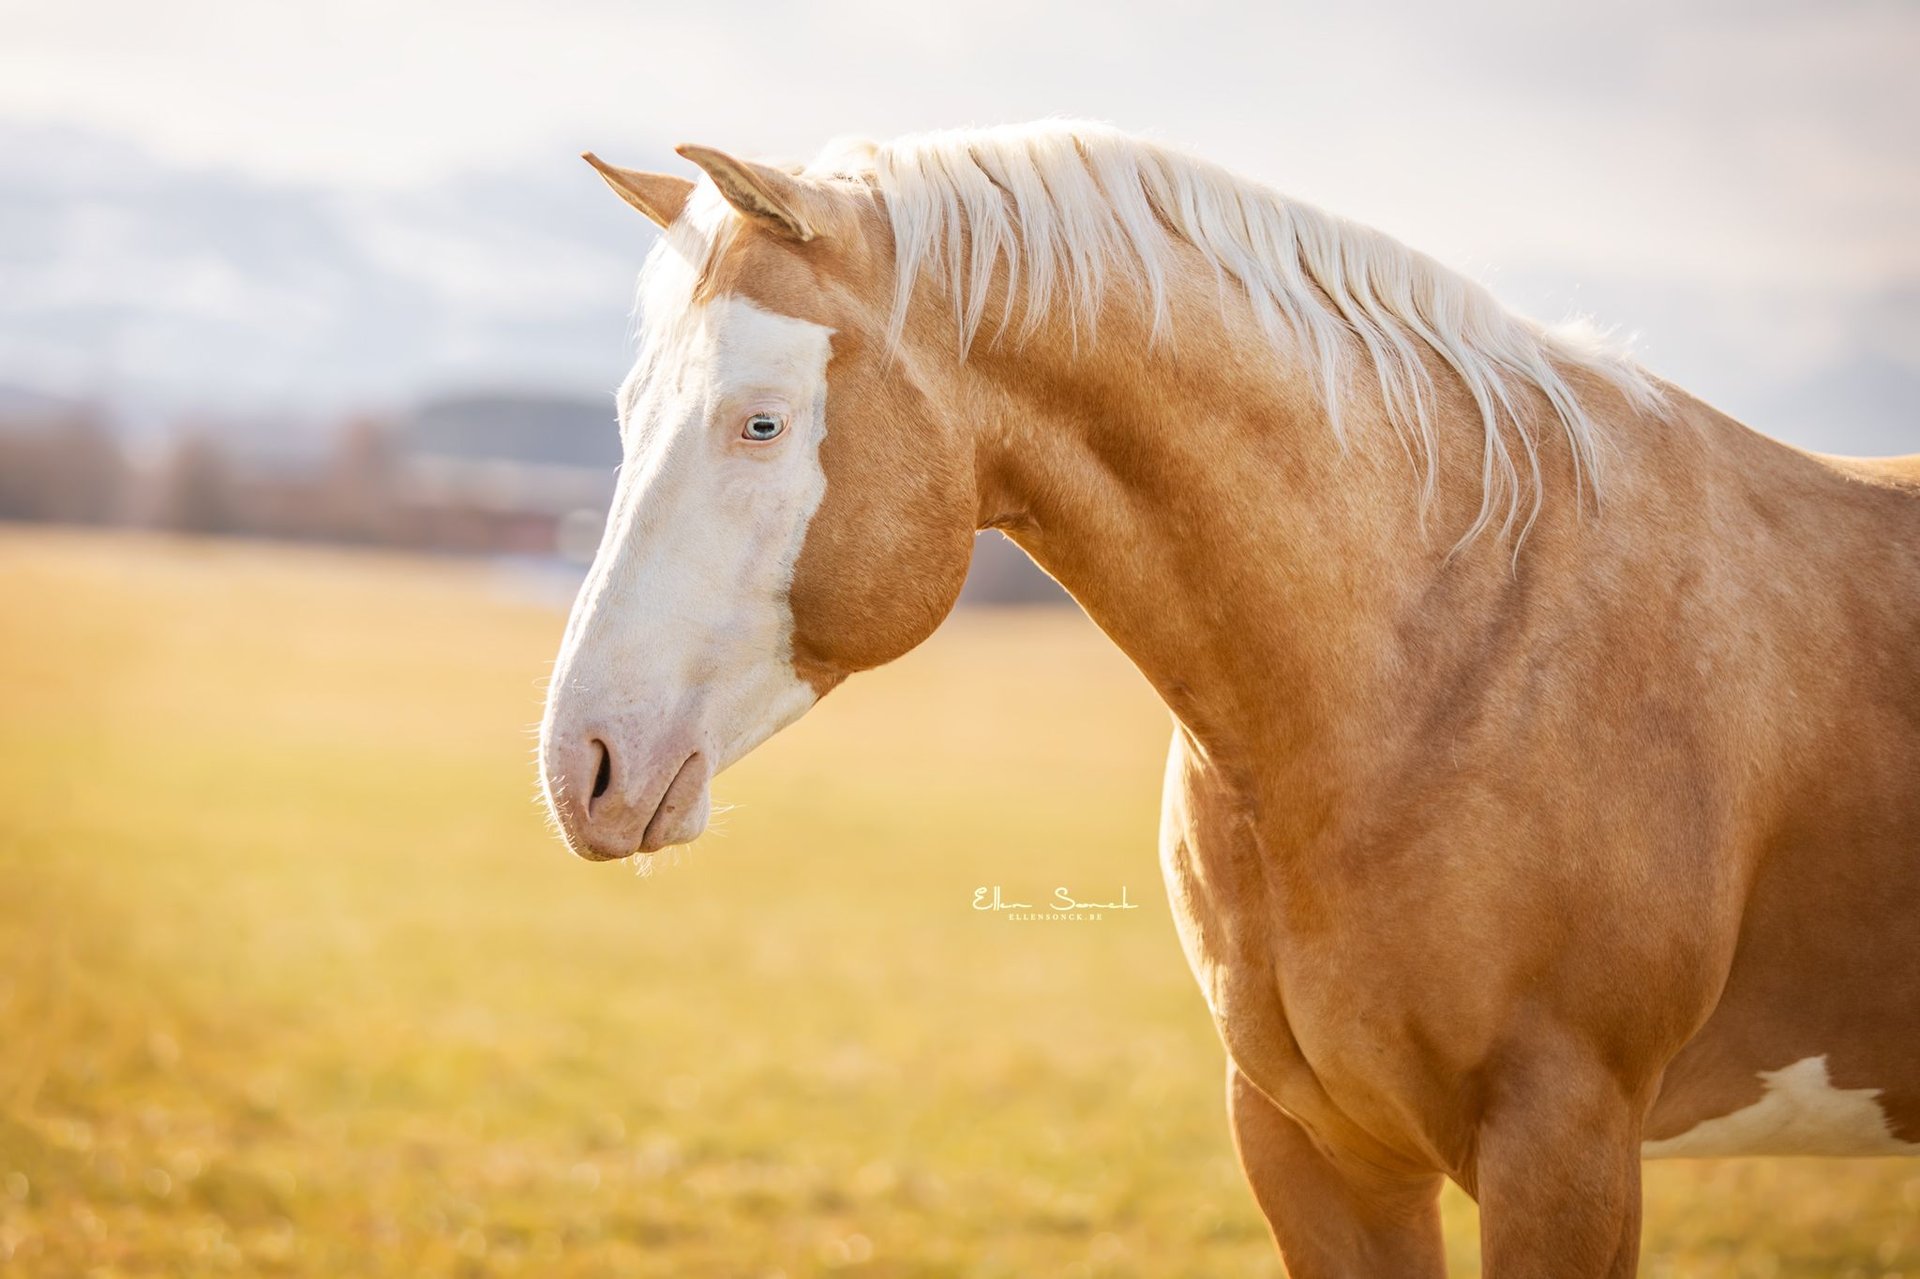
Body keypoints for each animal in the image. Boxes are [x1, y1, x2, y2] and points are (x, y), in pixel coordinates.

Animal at [537, 120, 1920, 1276]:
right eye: (628, 413)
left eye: (761, 423)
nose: (580, 766)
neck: (1447, 648)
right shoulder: (1314, 1144)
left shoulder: (1565, 1145)